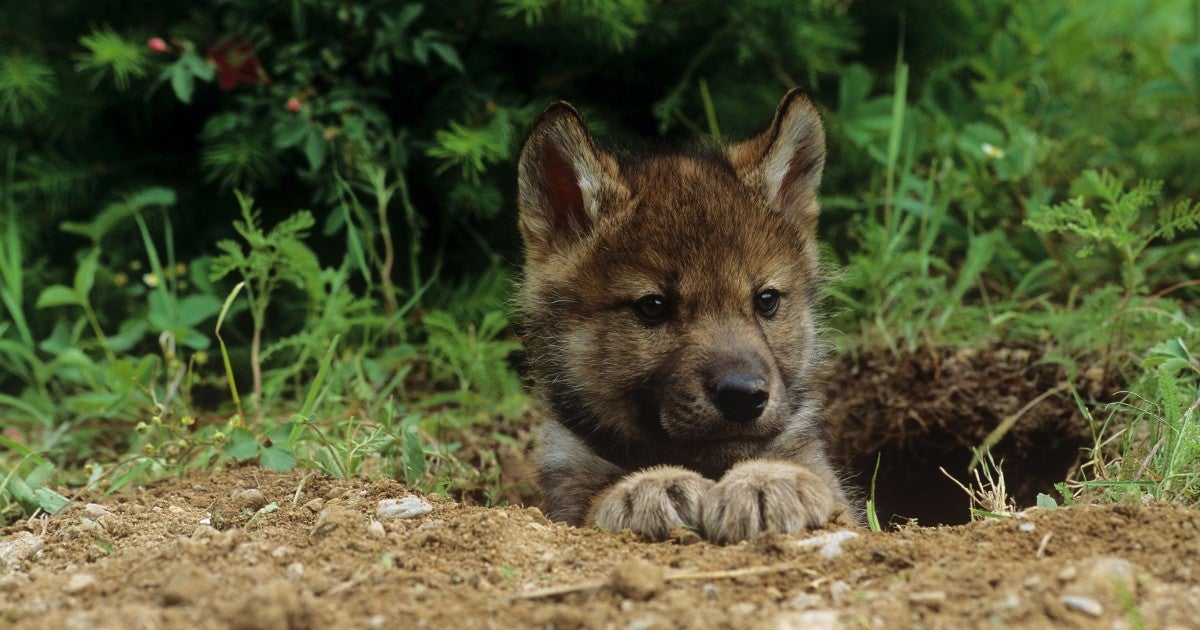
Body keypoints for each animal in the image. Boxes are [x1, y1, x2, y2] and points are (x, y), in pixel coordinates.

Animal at [516, 90, 851, 543]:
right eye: (653, 306)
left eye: (766, 300)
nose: (743, 396)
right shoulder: (565, 500)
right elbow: (598, 500)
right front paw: (652, 484)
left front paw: (767, 479)